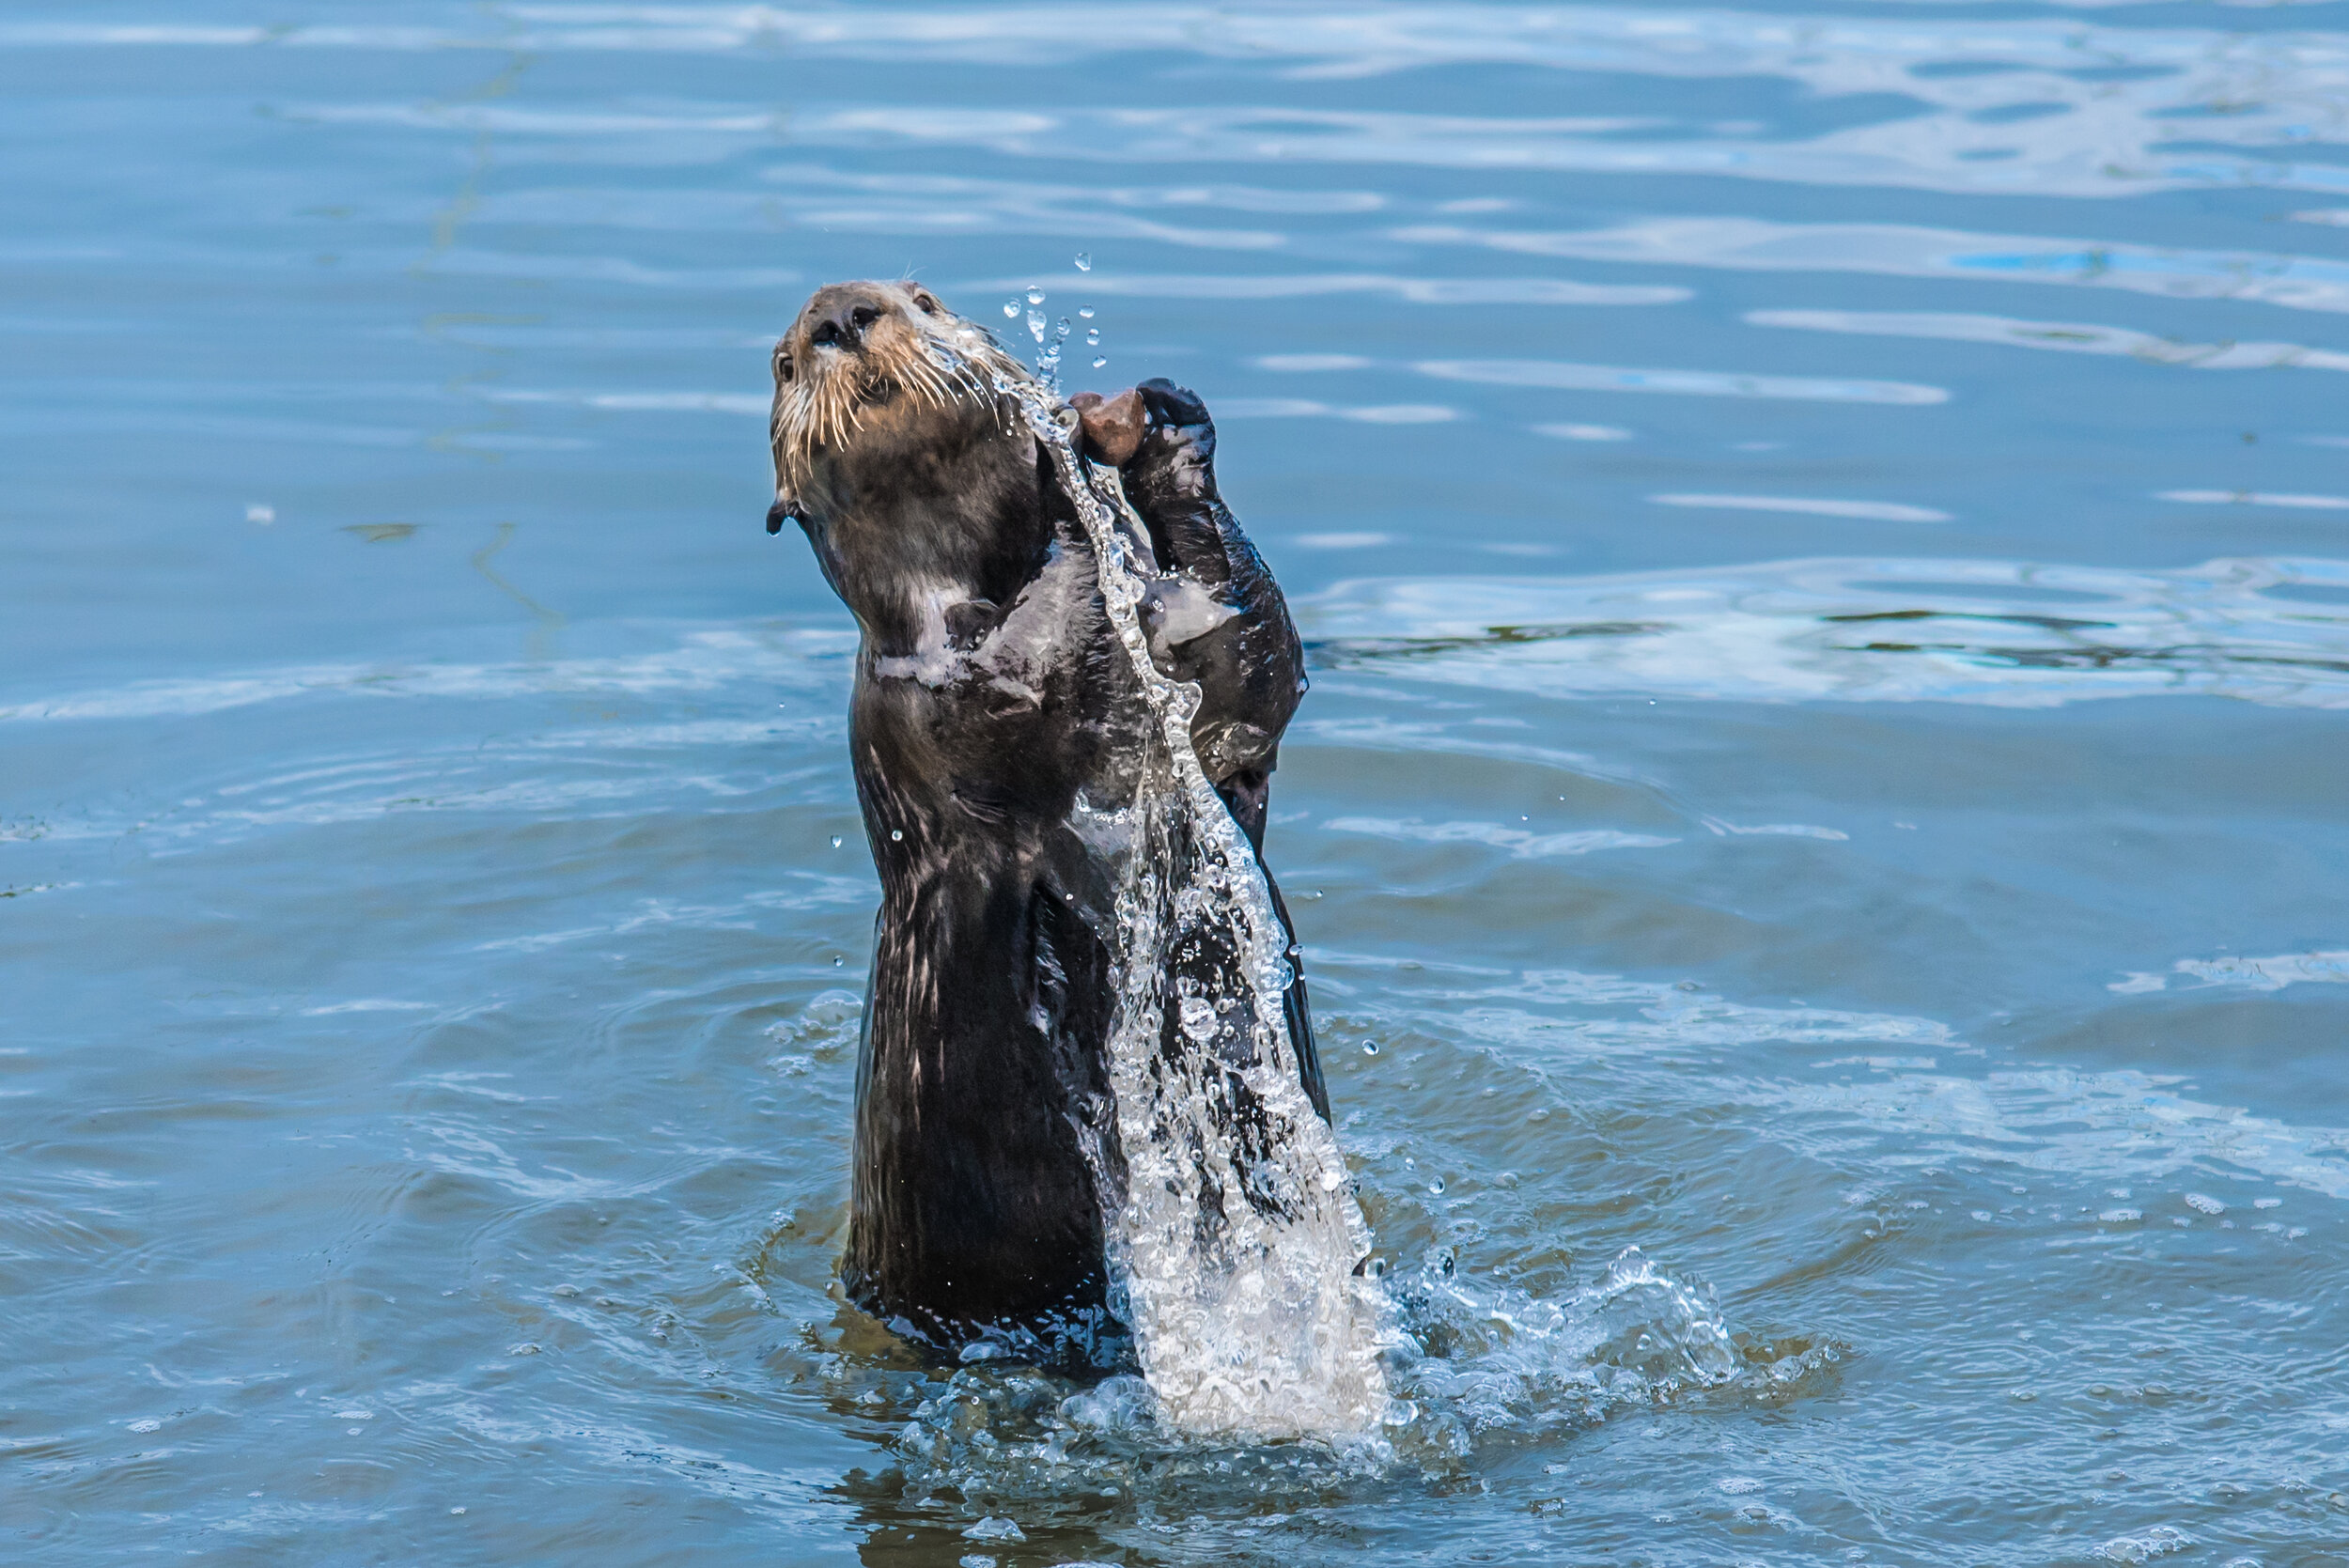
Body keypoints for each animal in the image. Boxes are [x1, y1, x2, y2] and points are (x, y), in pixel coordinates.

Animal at [766, 280, 1324, 1361]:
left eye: (925, 297)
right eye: (779, 363)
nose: (841, 313)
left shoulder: (1231, 711)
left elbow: (1251, 661)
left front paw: (1157, 426)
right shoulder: (926, 696)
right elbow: (1032, 676)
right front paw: (1067, 467)